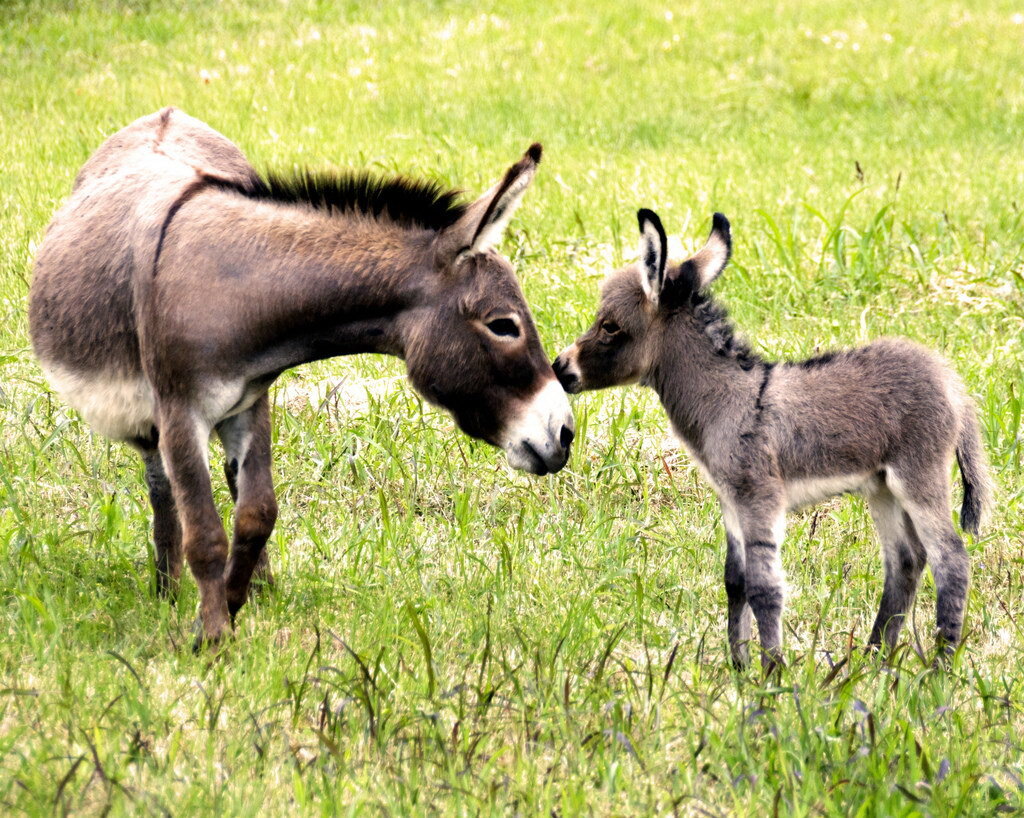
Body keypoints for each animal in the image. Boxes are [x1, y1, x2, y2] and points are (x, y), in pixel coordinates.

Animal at [557, 210, 987, 671]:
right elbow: (735, 581)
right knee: (906, 561)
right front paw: (740, 666)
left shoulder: (758, 498)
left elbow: (764, 587)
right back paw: (874, 661)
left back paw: (939, 667)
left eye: (609, 326)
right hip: (883, 488)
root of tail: (949, 379)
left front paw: (772, 673)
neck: (729, 396)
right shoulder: (730, 502)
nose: (559, 367)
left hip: (918, 475)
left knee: (951, 560)